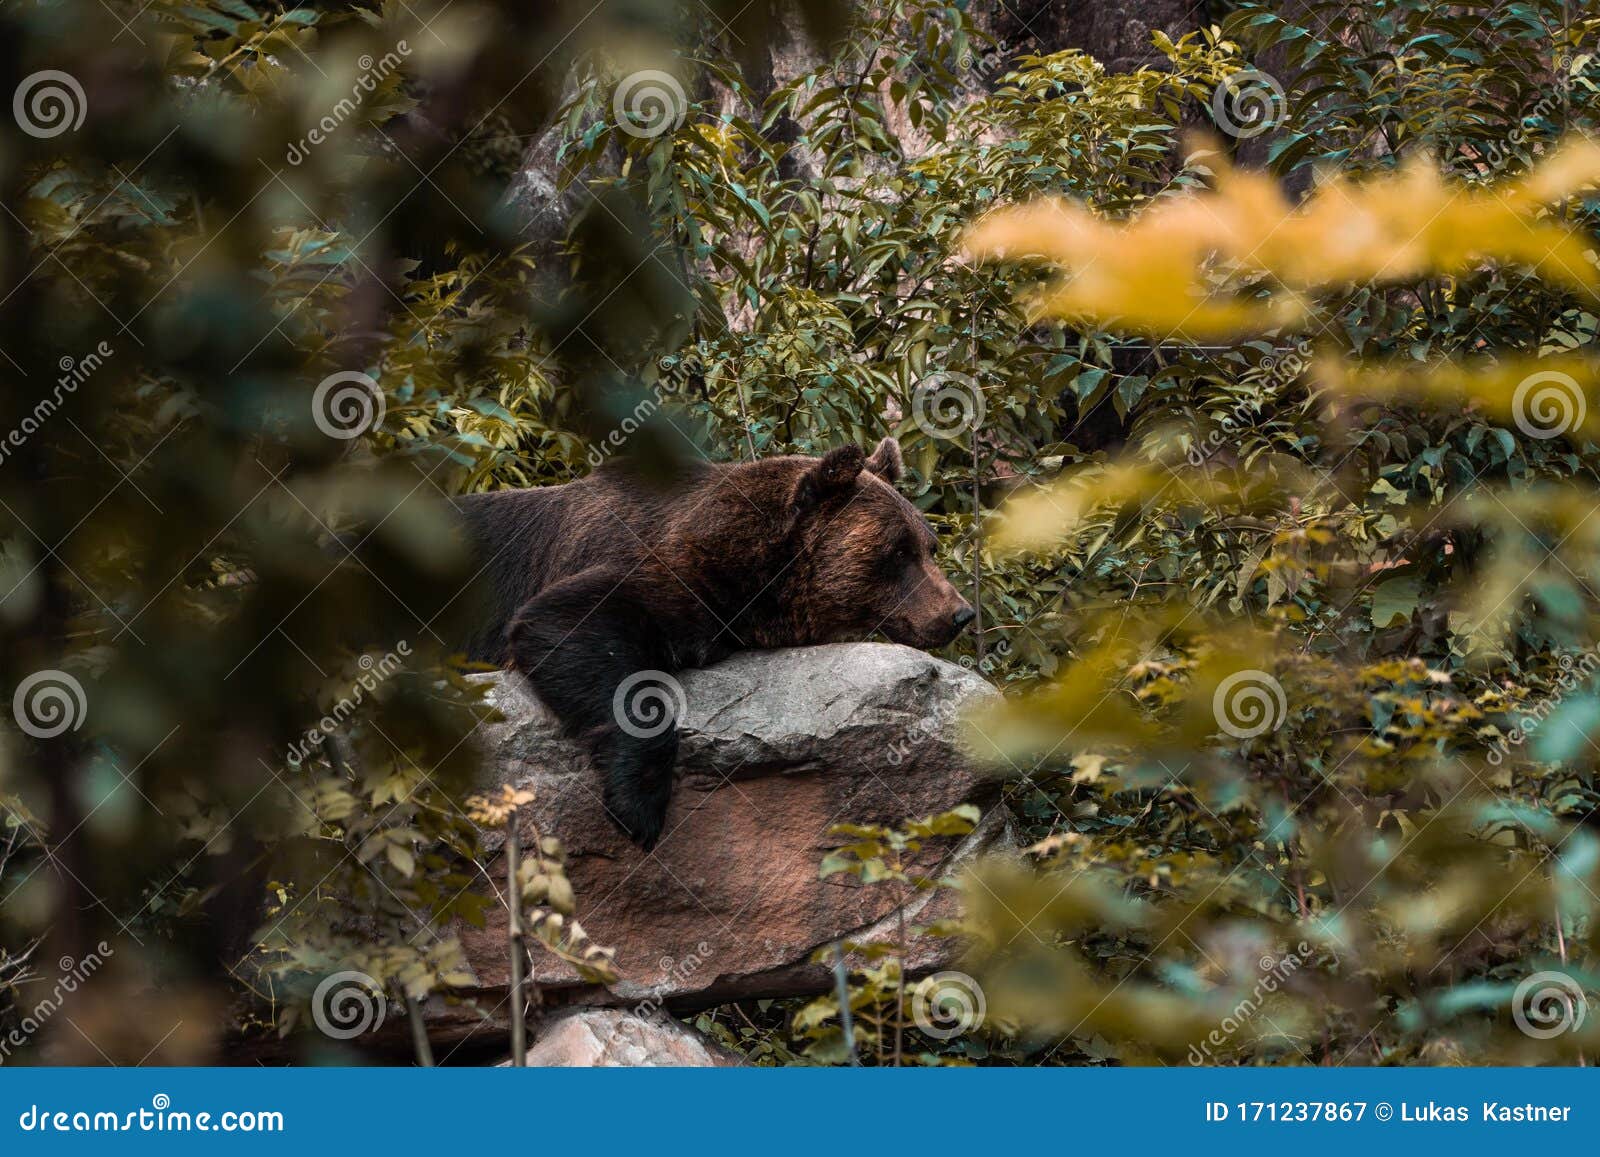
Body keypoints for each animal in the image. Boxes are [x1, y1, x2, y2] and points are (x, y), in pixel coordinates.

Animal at [451, 437, 975, 849]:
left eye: (928, 545)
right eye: (898, 551)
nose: (960, 613)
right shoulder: (651, 563)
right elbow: (569, 622)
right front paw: (637, 806)